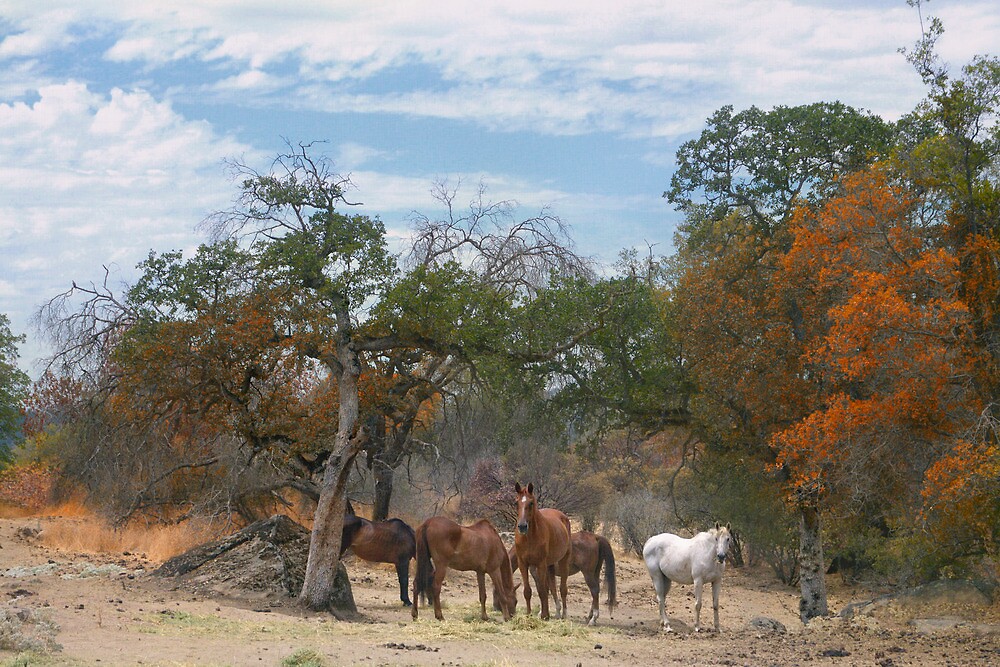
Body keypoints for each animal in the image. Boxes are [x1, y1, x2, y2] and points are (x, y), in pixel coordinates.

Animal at [513, 482, 572, 621]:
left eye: (531, 503)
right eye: (516, 502)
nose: (522, 526)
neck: (530, 537)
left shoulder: (540, 564)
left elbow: (543, 591)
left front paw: (545, 615)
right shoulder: (523, 564)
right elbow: (529, 591)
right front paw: (529, 614)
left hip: (563, 560)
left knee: (562, 588)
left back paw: (564, 614)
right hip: (549, 564)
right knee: (552, 587)